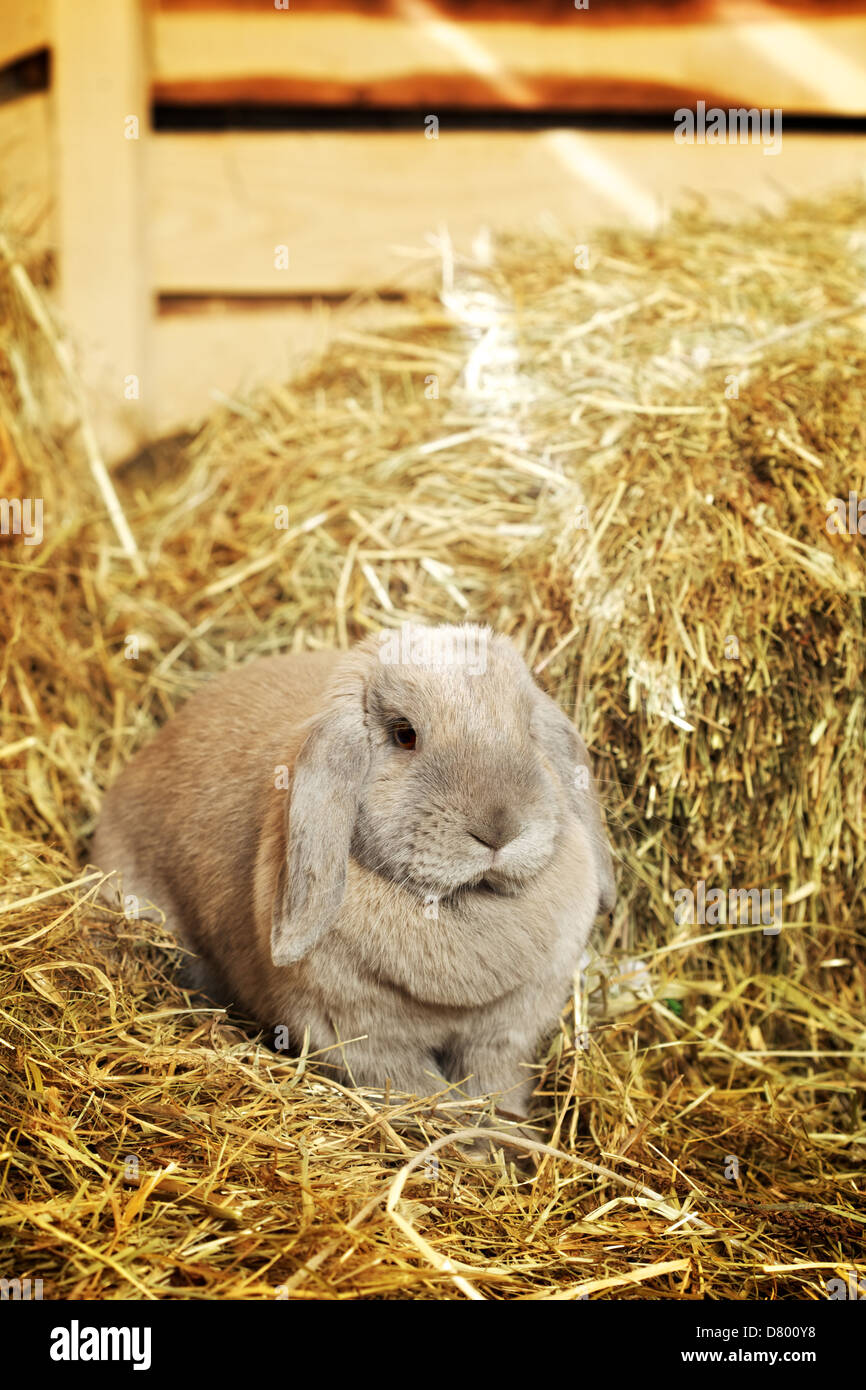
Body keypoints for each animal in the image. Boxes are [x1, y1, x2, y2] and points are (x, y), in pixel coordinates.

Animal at [91, 622, 615, 1124]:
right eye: (404, 734)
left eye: (527, 730)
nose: (499, 829)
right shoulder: (368, 1045)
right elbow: (427, 1097)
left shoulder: (505, 1039)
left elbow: (495, 1093)